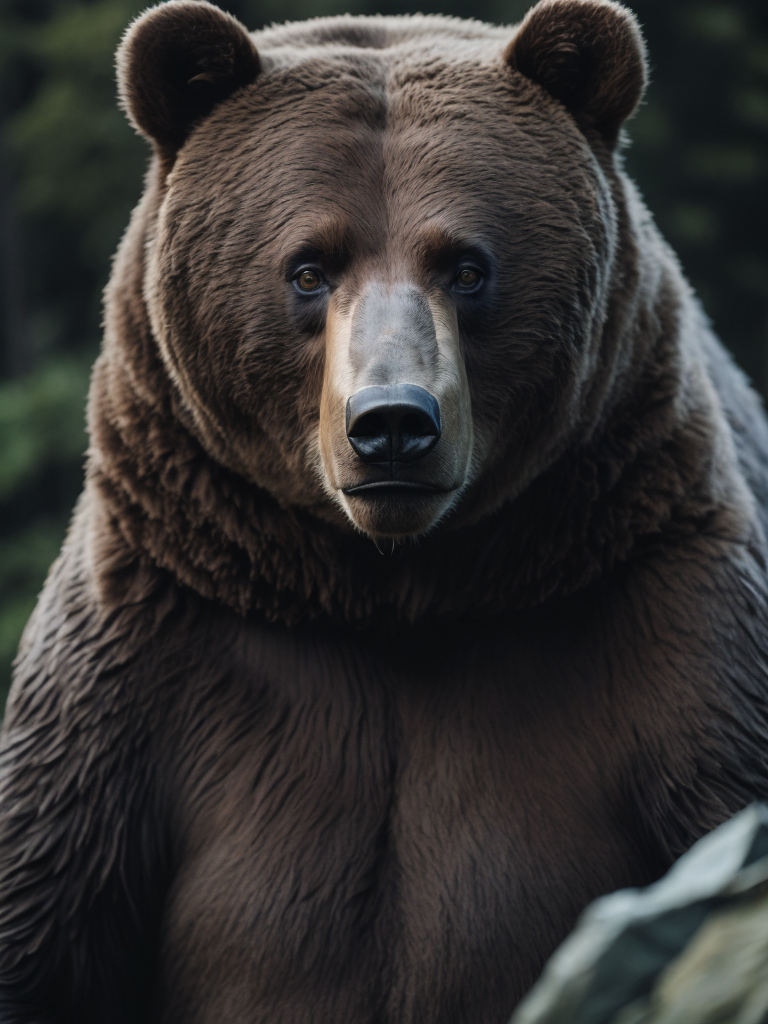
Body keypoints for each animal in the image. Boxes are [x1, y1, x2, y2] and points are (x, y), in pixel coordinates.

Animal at [2, 0, 768, 1021]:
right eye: (308, 267)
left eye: (468, 266)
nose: (393, 423)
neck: (389, 592)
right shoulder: (146, 659)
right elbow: (46, 902)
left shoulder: (659, 615)